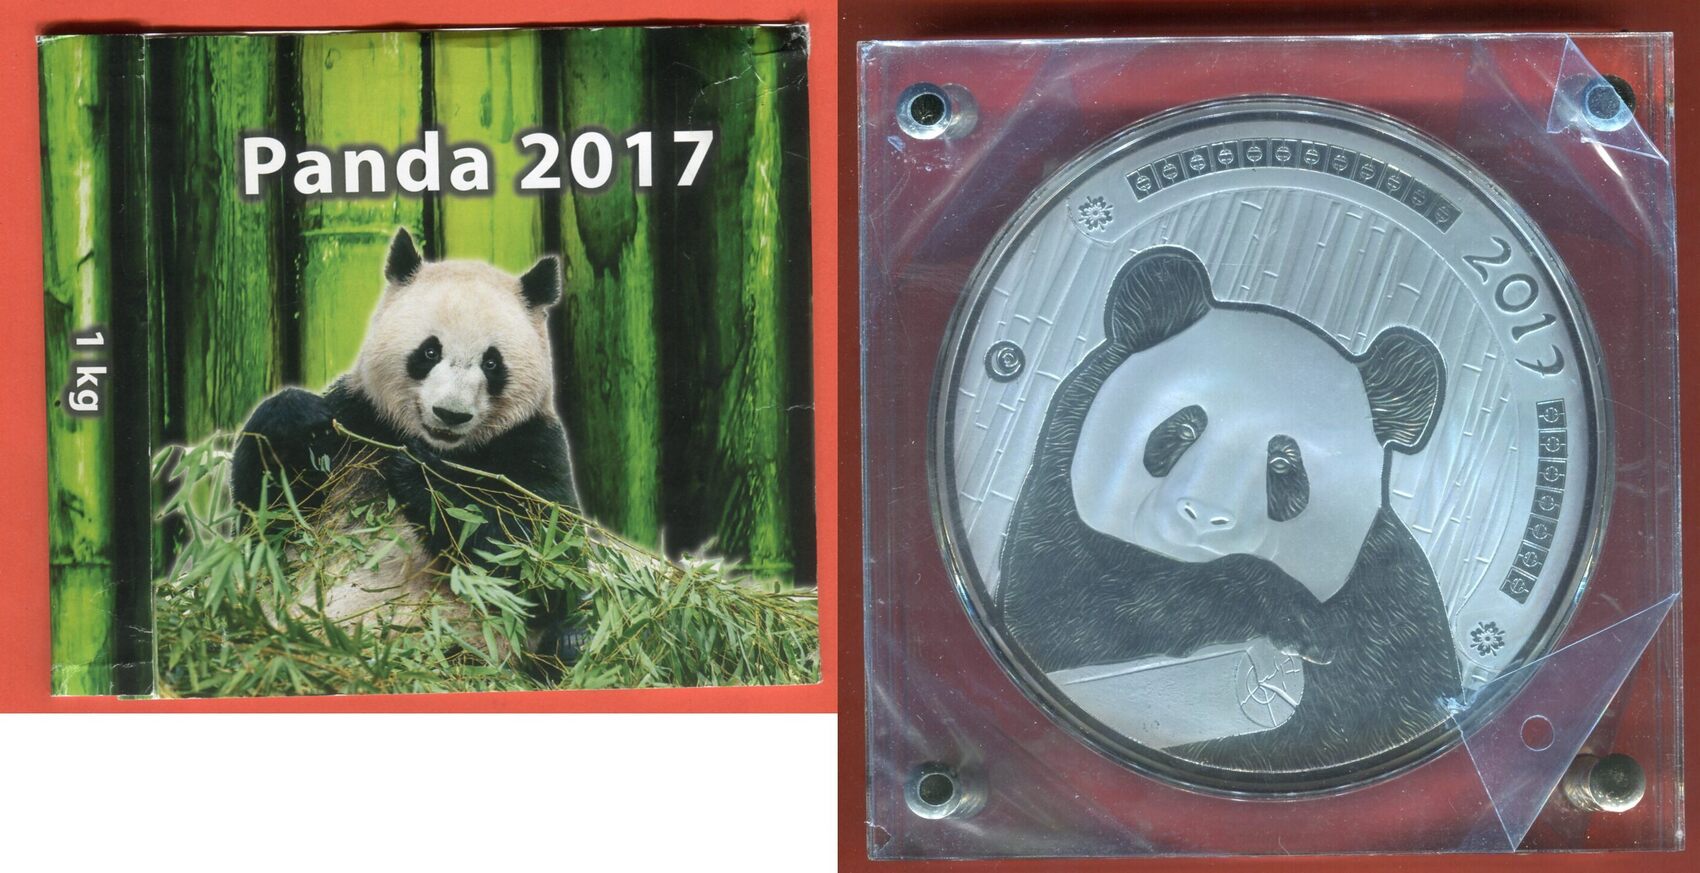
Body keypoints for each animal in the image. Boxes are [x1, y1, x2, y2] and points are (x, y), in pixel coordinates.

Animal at [231, 227, 583, 661]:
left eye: (492, 363)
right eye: (429, 351)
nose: (451, 414)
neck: (446, 448)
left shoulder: (533, 446)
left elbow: (541, 560)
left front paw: (421, 475)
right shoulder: (359, 421)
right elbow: (270, 524)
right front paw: (295, 414)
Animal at [997, 244, 1462, 773]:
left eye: (1282, 462)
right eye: (1183, 427)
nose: (1203, 514)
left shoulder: (1390, 603)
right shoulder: (1052, 529)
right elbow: (1084, 620)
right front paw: (1298, 624)